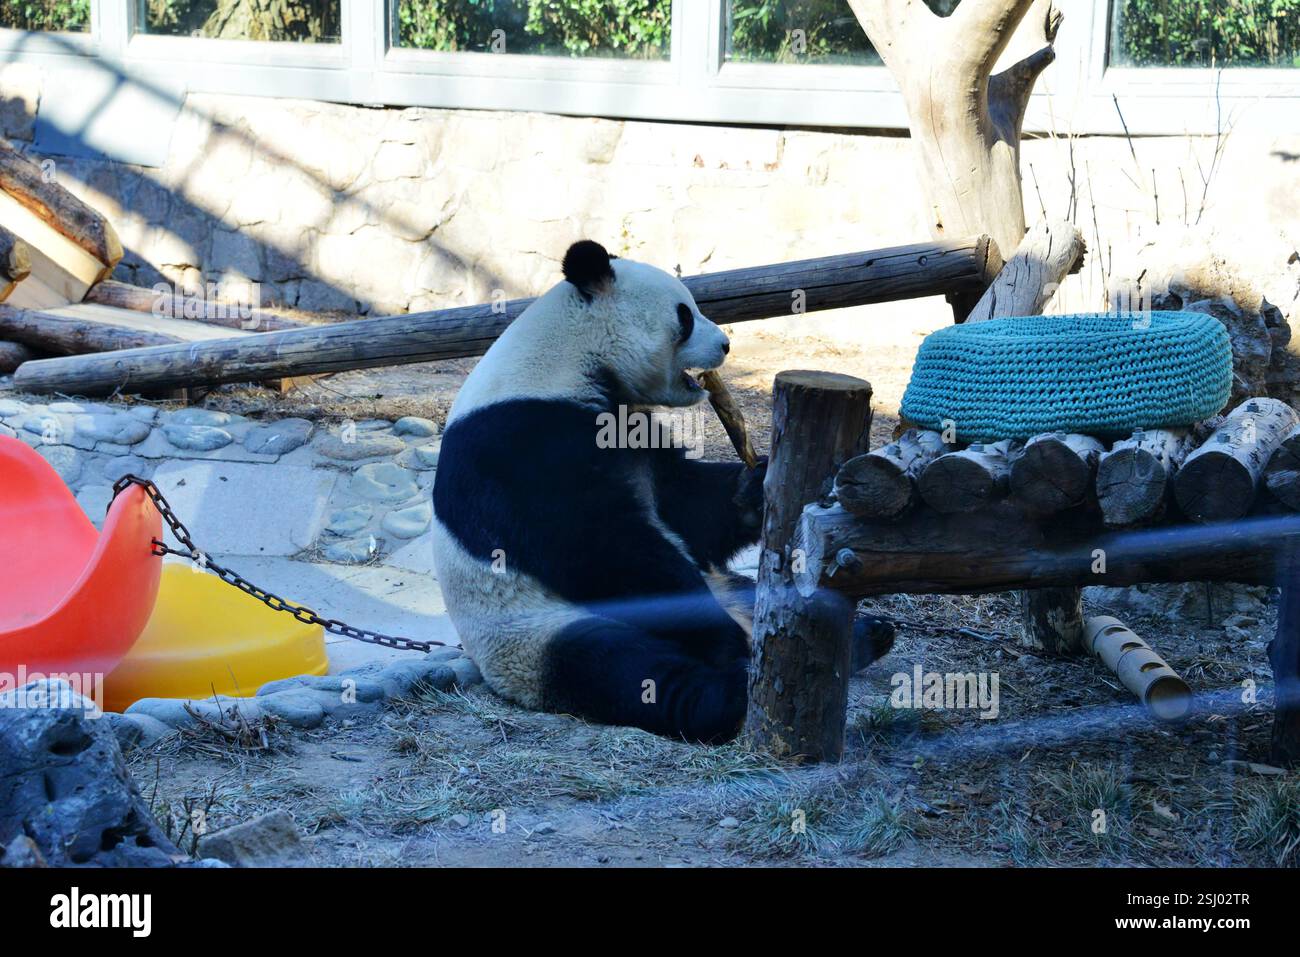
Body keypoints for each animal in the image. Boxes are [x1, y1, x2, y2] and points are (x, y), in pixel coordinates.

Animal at [432, 240, 893, 743]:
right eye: (685, 315)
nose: (726, 344)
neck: (571, 359)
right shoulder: (524, 440)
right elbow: (599, 545)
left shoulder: (634, 430)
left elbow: (686, 508)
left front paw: (754, 485)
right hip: (533, 635)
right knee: (624, 667)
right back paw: (729, 687)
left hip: (722, 587)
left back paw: (866, 634)